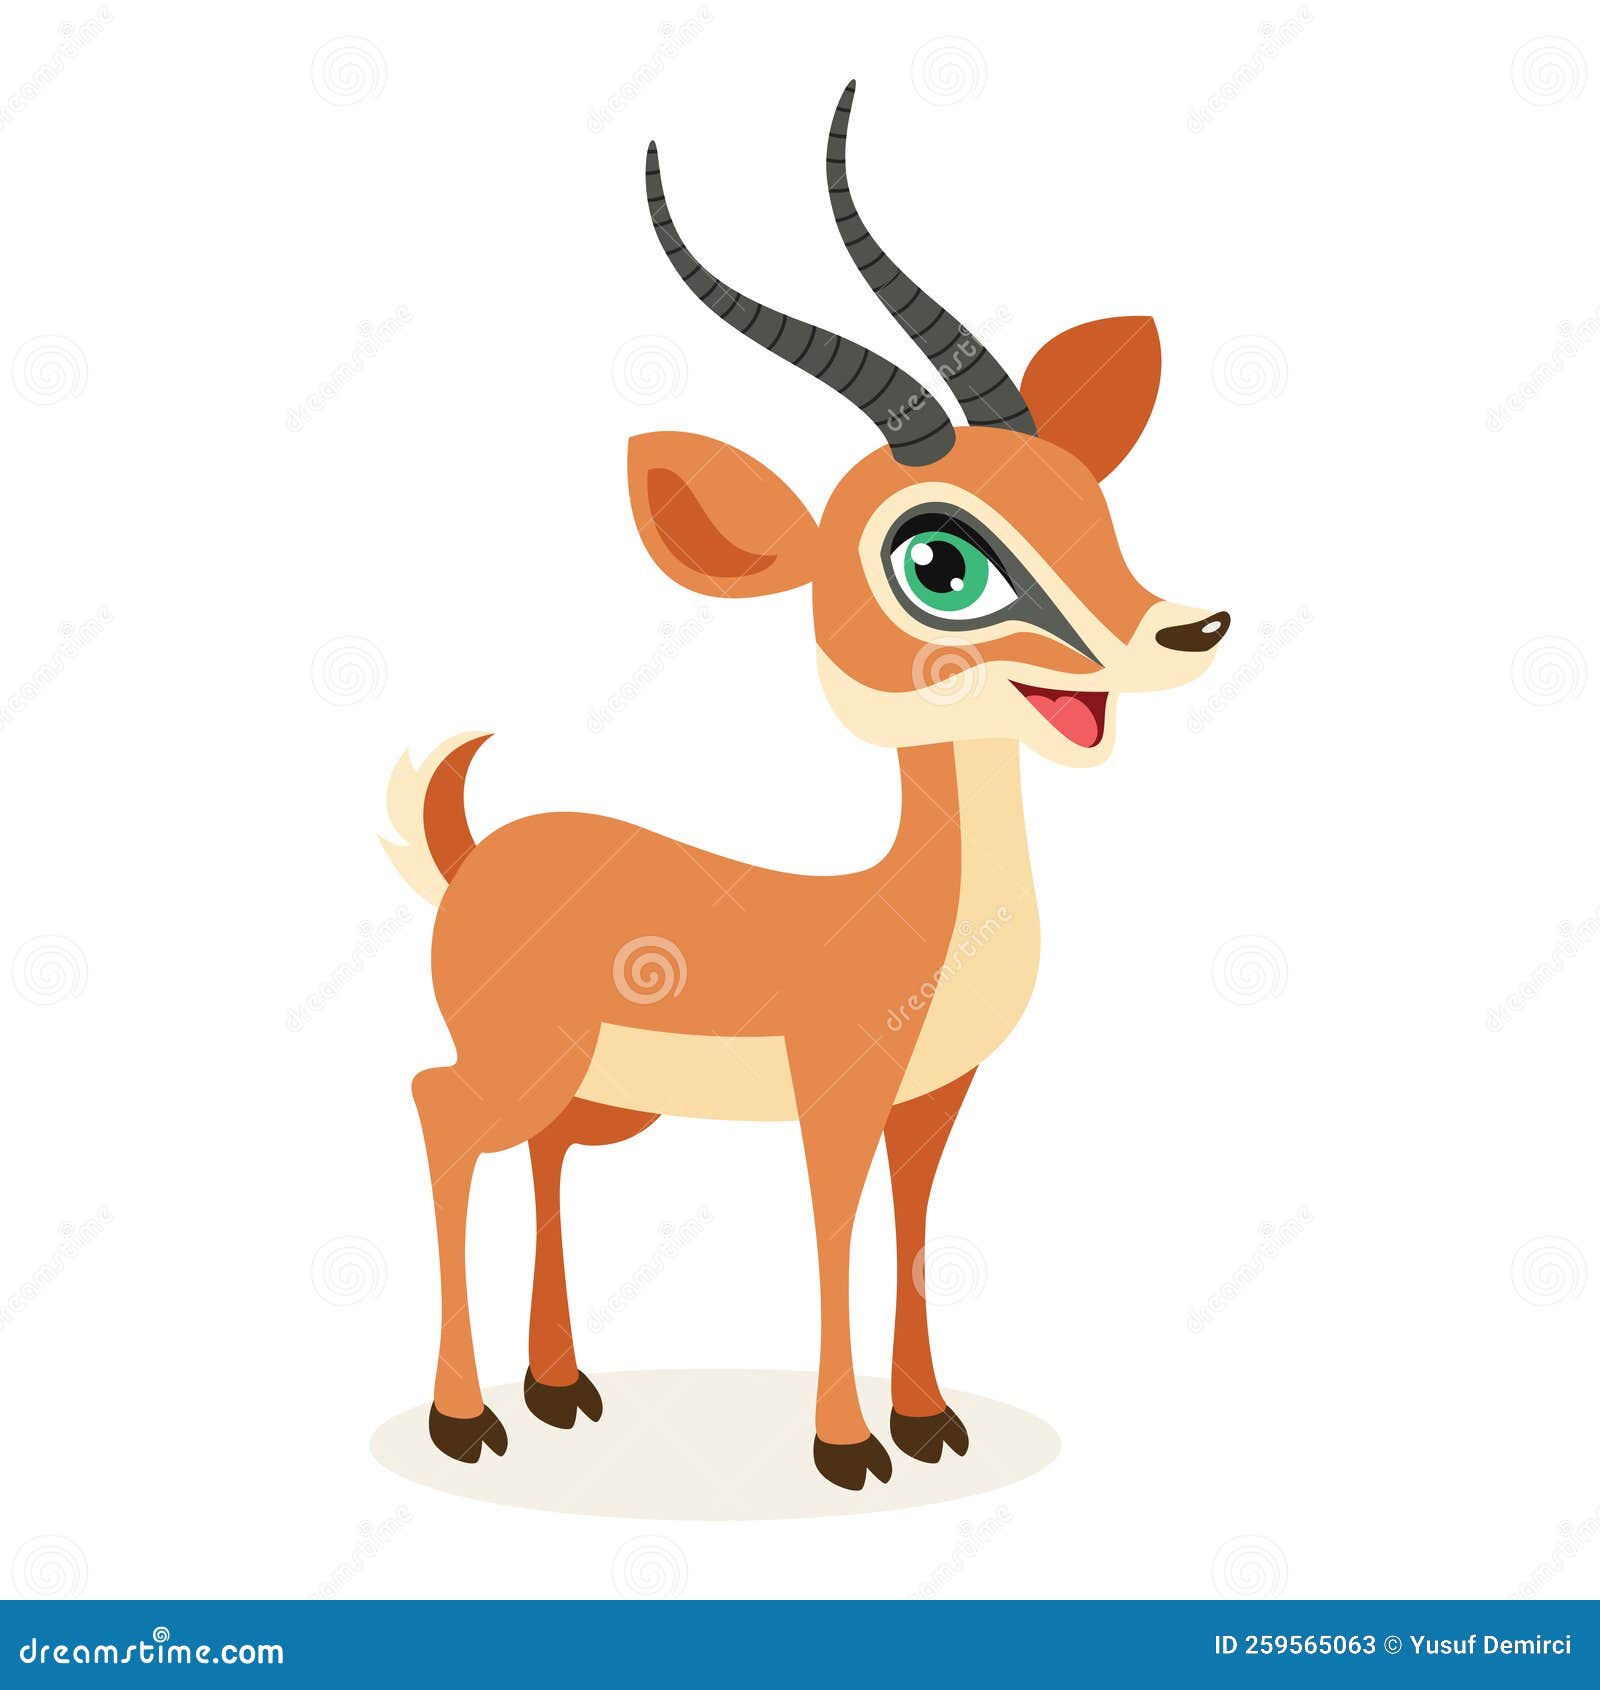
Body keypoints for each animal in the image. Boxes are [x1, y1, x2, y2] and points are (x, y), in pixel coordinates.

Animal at [383, 84, 1230, 1491]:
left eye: (1089, 502)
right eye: (939, 561)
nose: (1188, 628)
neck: (907, 912)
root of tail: (478, 849)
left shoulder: (933, 1099)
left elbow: (913, 1227)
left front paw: (928, 1421)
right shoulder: (835, 1092)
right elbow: (836, 1223)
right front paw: (847, 1446)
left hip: (602, 1097)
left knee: (542, 1156)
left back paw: (560, 1389)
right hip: (521, 1064)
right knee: (441, 1115)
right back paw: (468, 1418)